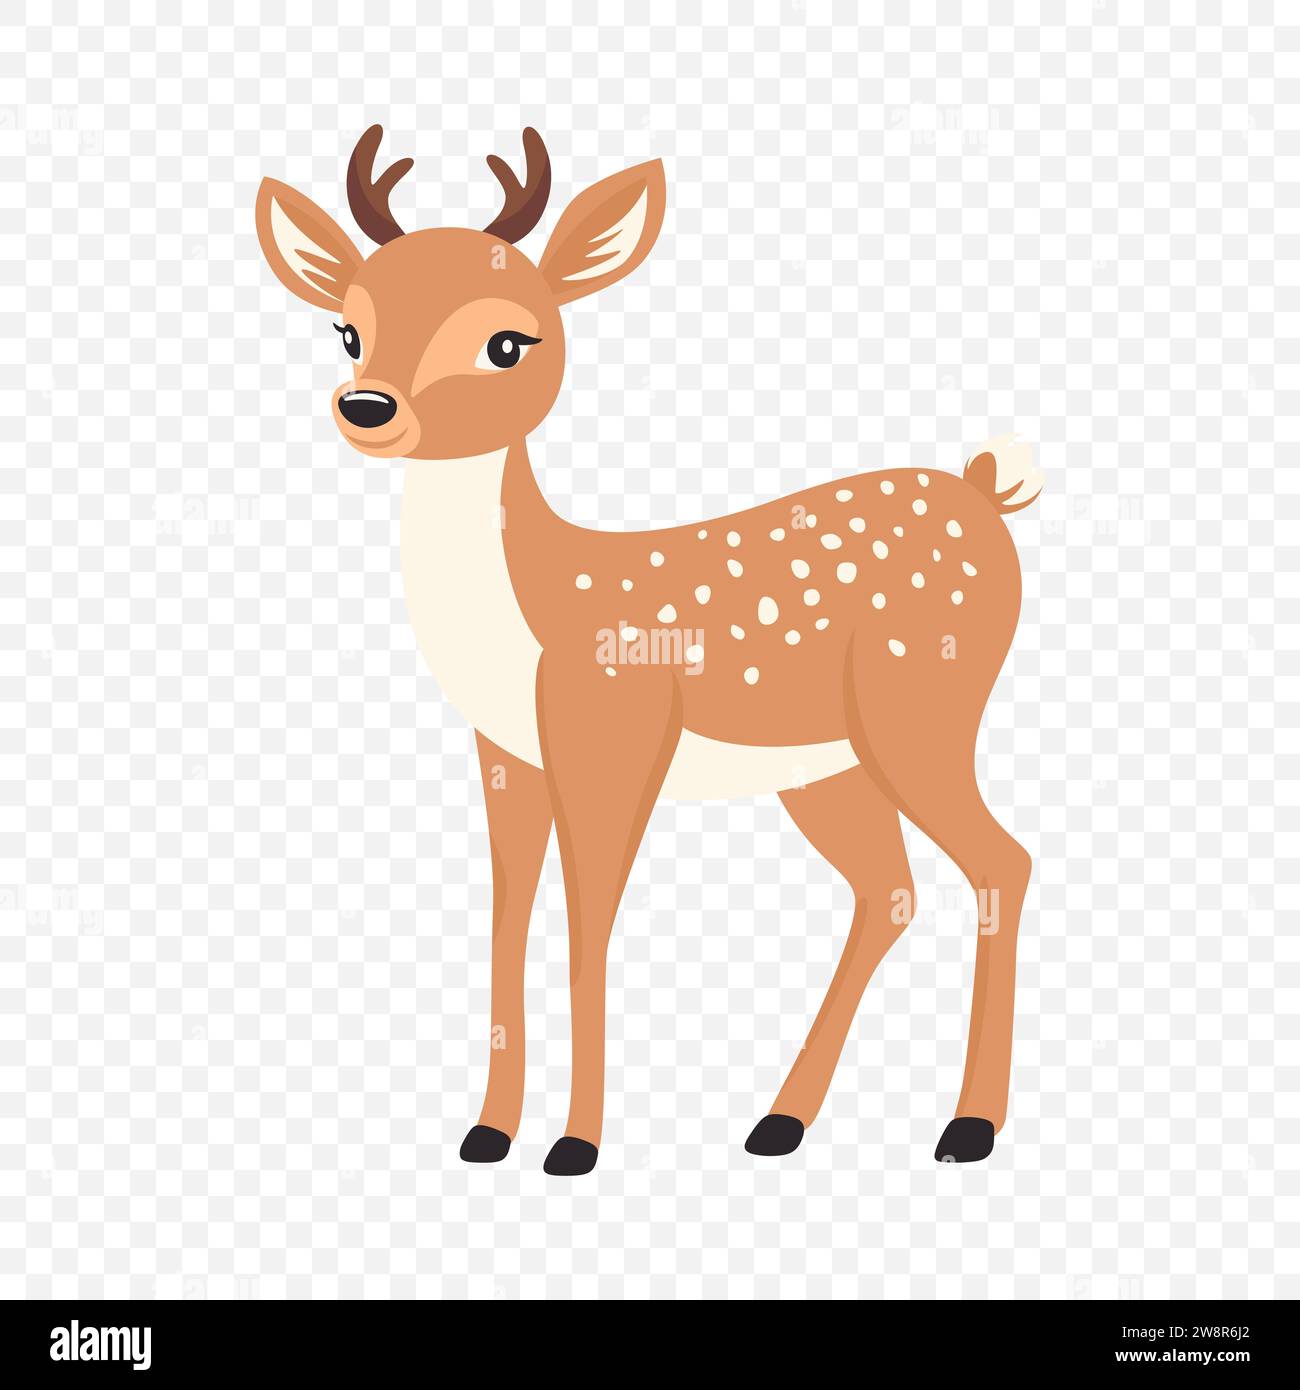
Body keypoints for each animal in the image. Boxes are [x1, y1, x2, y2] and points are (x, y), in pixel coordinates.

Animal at [255, 126, 1041, 1176]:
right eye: (346, 329)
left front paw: (574, 1145)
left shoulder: (612, 729)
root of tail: (987, 491)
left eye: (508, 341)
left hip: (922, 706)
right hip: (822, 764)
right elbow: (508, 924)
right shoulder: (507, 752)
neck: (529, 608)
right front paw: (486, 1133)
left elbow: (589, 927)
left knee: (1001, 863)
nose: (368, 406)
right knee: (891, 892)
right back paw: (779, 1123)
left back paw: (968, 1129)